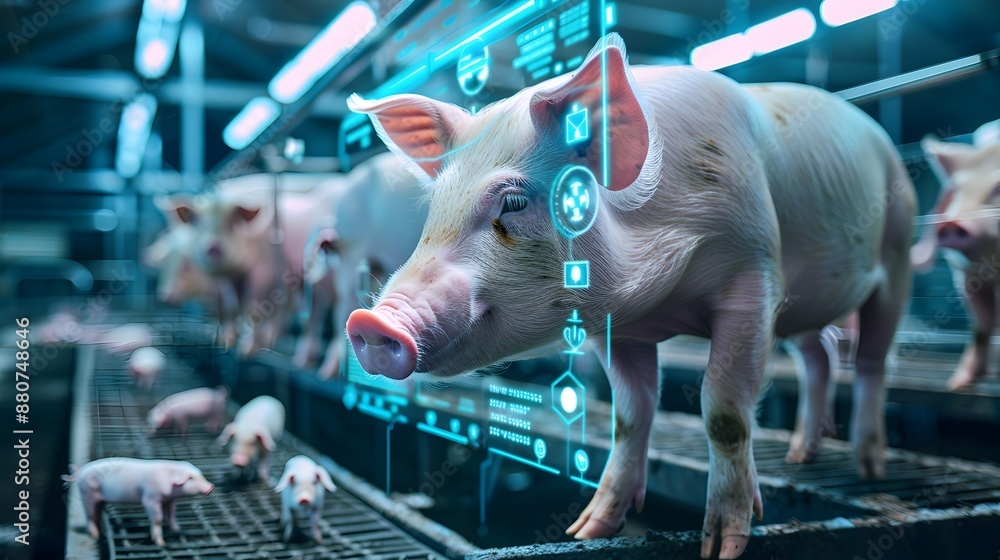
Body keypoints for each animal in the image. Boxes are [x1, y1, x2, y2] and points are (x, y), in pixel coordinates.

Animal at [61, 458, 214, 546]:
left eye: (200, 474)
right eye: (190, 478)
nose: (211, 487)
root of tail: (81, 470)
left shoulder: (169, 500)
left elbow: (171, 514)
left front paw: (175, 529)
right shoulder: (150, 499)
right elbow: (157, 518)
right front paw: (161, 543)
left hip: (100, 500)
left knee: (98, 513)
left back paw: (103, 532)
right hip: (88, 497)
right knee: (90, 517)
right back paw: (95, 535)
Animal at [345, 34, 914, 559]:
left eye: (514, 202)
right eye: (435, 207)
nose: (370, 322)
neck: (665, 297)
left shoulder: (754, 274)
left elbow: (724, 411)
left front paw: (723, 545)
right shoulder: (618, 331)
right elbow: (630, 415)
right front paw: (587, 530)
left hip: (898, 245)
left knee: (872, 360)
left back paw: (870, 467)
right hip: (805, 305)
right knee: (821, 353)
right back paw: (800, 458)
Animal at [909, 121, 1000, 391]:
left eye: (998, 187)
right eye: (958, 190)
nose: (952, 223)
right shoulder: (966, 277)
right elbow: (980, 327)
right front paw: (958, 384)